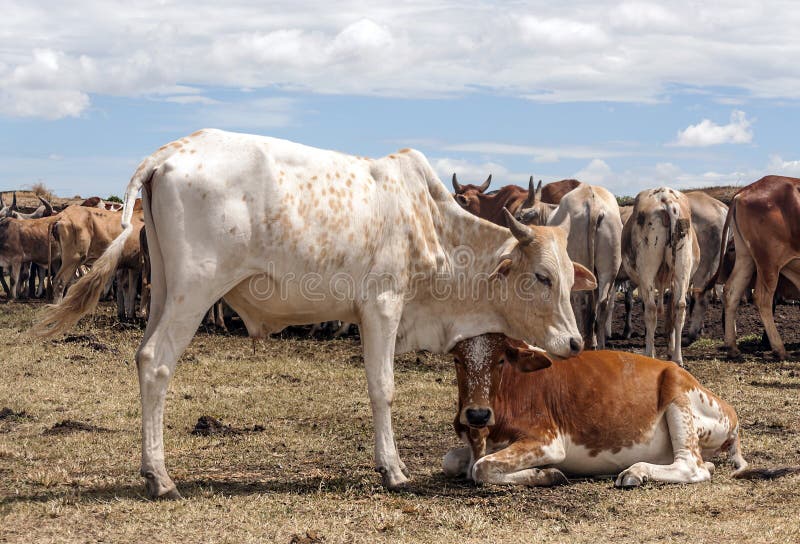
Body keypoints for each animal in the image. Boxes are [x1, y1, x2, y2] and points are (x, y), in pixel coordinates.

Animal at [33, 129, 597, 499]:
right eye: (541, 277)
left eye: (570, 279)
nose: (575, 344)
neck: (430, 223)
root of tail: (169, 152)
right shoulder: (382, 307)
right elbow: (383, 388)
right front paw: (392, 469)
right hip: (194, 291)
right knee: (155, 361)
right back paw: (160, 478)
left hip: (166, 288)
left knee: (144, 354)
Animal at [444, 333, 799, 487]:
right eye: (457, 360)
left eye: (500, 360)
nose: (476, 415)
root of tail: (733, 416)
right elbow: (453, 461)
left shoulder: (548, 440)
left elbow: (481, 469)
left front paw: (548, 474)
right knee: (702, 465)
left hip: (677, 392)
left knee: (692, 467)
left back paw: (635, 473)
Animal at [516, 179, 622, 349]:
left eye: (519, 217)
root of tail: (593, 203)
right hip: (609, 269)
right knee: (601, 303)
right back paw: (599, 345)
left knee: (581, 302)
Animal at [622, 187, 699, 365]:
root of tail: (666, 198)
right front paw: (670, 349)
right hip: (682, 269)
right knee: (679, 307)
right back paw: (677, 358)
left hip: (647, 270)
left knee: (650, 309)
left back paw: (649, 354)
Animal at [710, 176, 800, 360]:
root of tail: (743, 191)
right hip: (768, 262)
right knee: (762, 298)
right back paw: (779, 349)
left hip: (746, 258)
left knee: (731, 292)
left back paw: (732, 348)